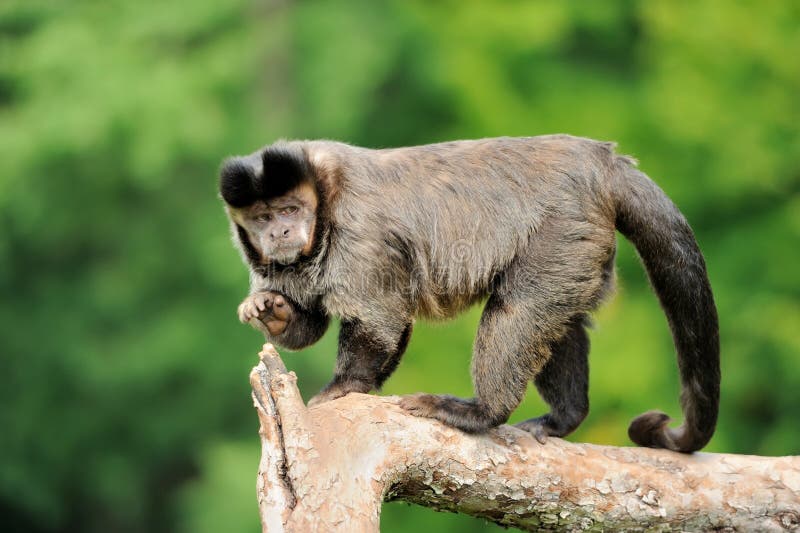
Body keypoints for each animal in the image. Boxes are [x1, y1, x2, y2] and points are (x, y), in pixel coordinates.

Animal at [219, 135, 720, 453]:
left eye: (290, 210)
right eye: (263, 218)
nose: (281, 232)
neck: (324, 202)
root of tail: (601, 161)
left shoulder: (358, 232)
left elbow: (381, 318)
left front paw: (347, 385)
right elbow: (317, 324)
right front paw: (271, 310)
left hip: (562, 226)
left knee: (520, 308)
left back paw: (481, 412)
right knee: (556, 318)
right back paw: (565, 417)